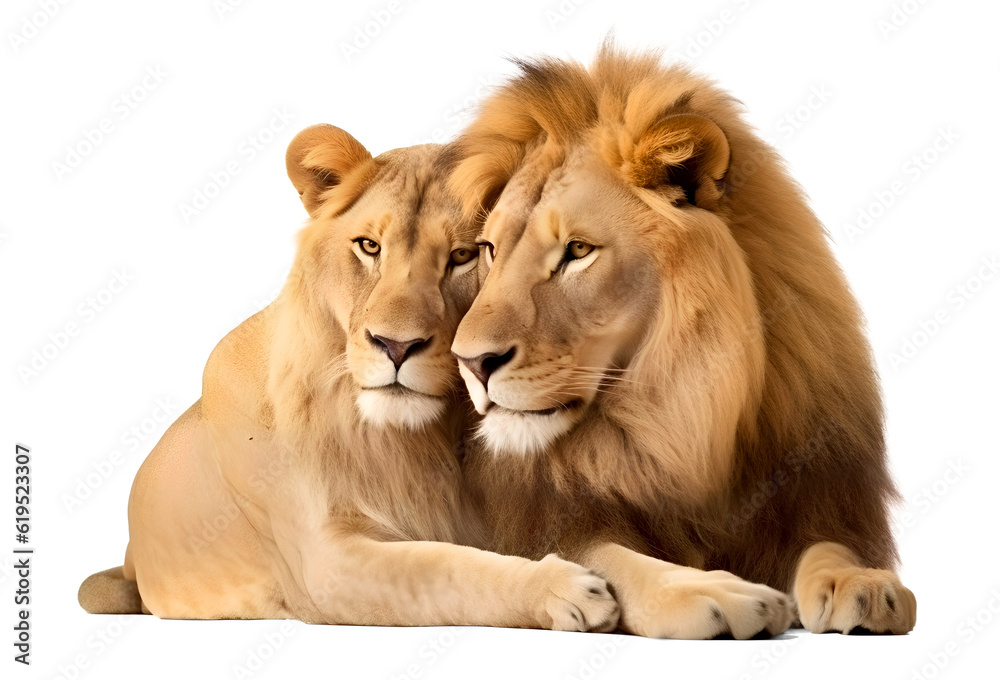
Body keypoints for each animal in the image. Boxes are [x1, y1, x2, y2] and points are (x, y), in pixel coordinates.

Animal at [77, 124, 619, 632]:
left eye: (464, 256)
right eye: (369, 246)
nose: (395, 346)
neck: (420, 439)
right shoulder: (323, 566)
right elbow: (448, 569)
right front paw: (563, 589)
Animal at [447, 45, 916, 638]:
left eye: (577, 250)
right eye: (489, 249)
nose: (471, 363)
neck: (680, 416)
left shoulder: (809, 493)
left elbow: (827, 544)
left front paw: (862, 583)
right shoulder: (540, 523)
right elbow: (614, 558)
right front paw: (711, 591)